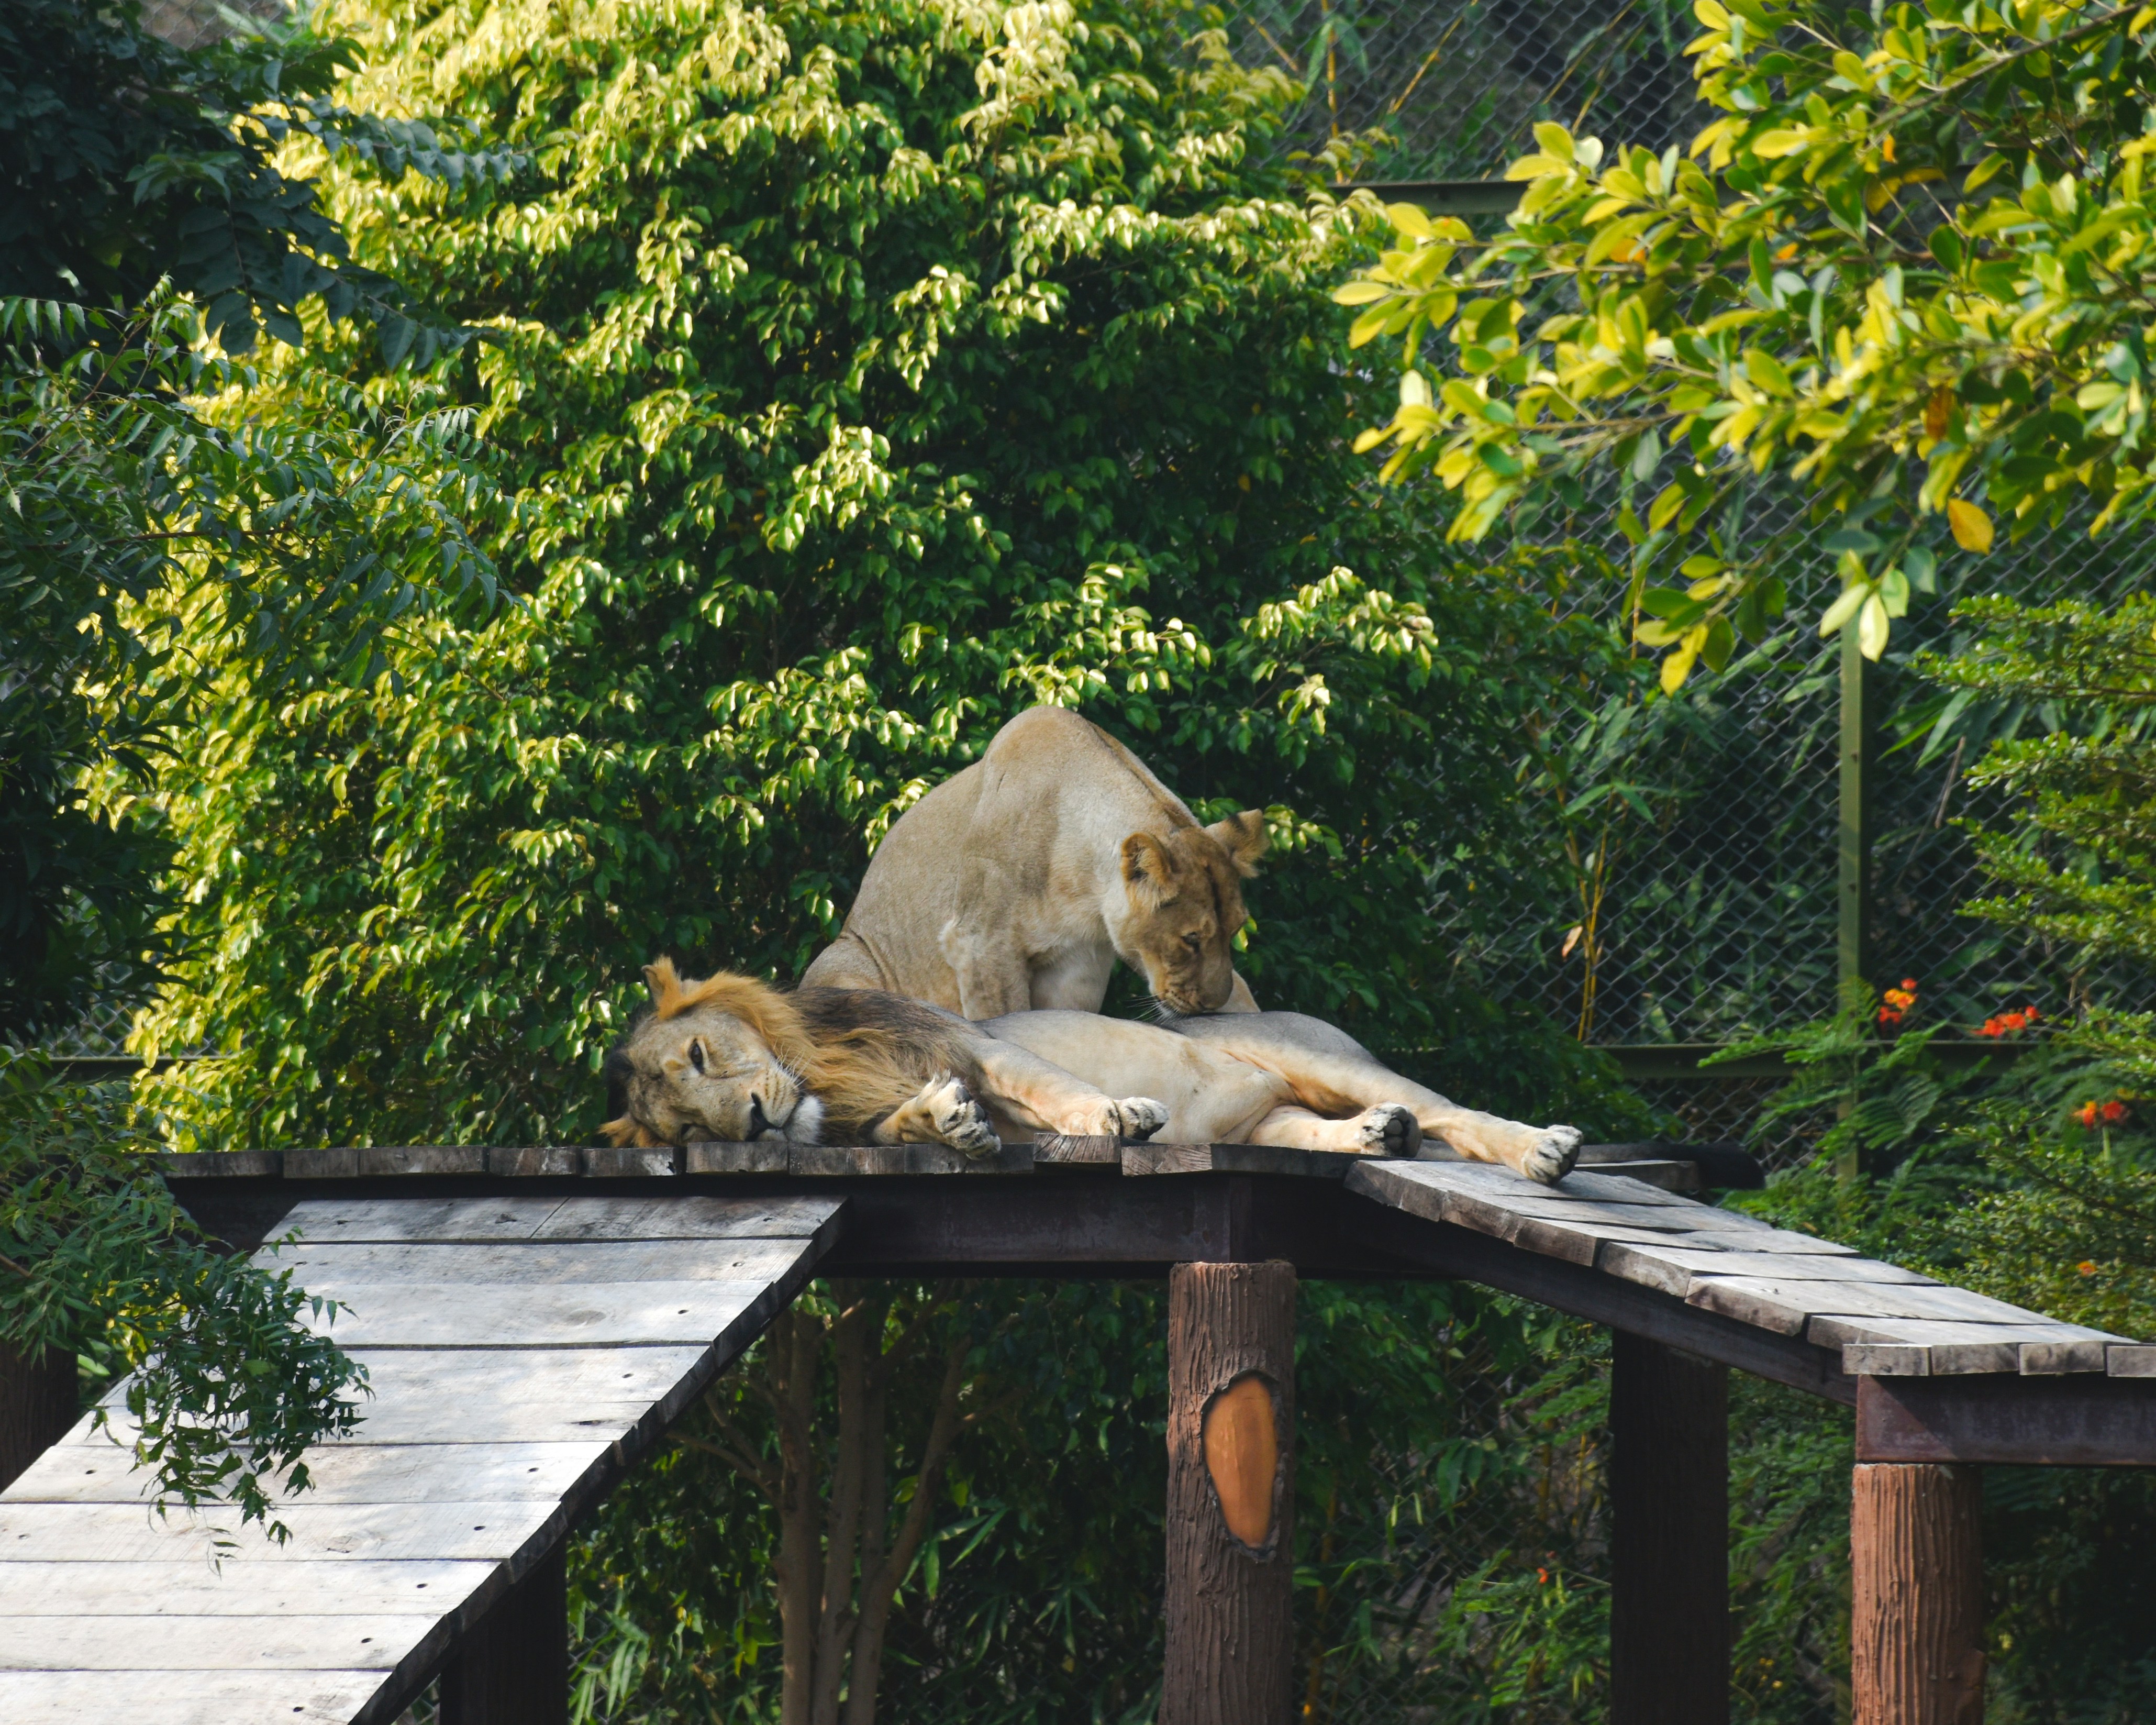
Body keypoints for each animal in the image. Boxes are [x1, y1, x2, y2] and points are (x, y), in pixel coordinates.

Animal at [799, 706, 1269, 1018]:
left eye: (1235, 931)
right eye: (1191, 939)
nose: (1211, 1005)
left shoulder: (1079, 962)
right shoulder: (980, 944)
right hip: (847, 961)